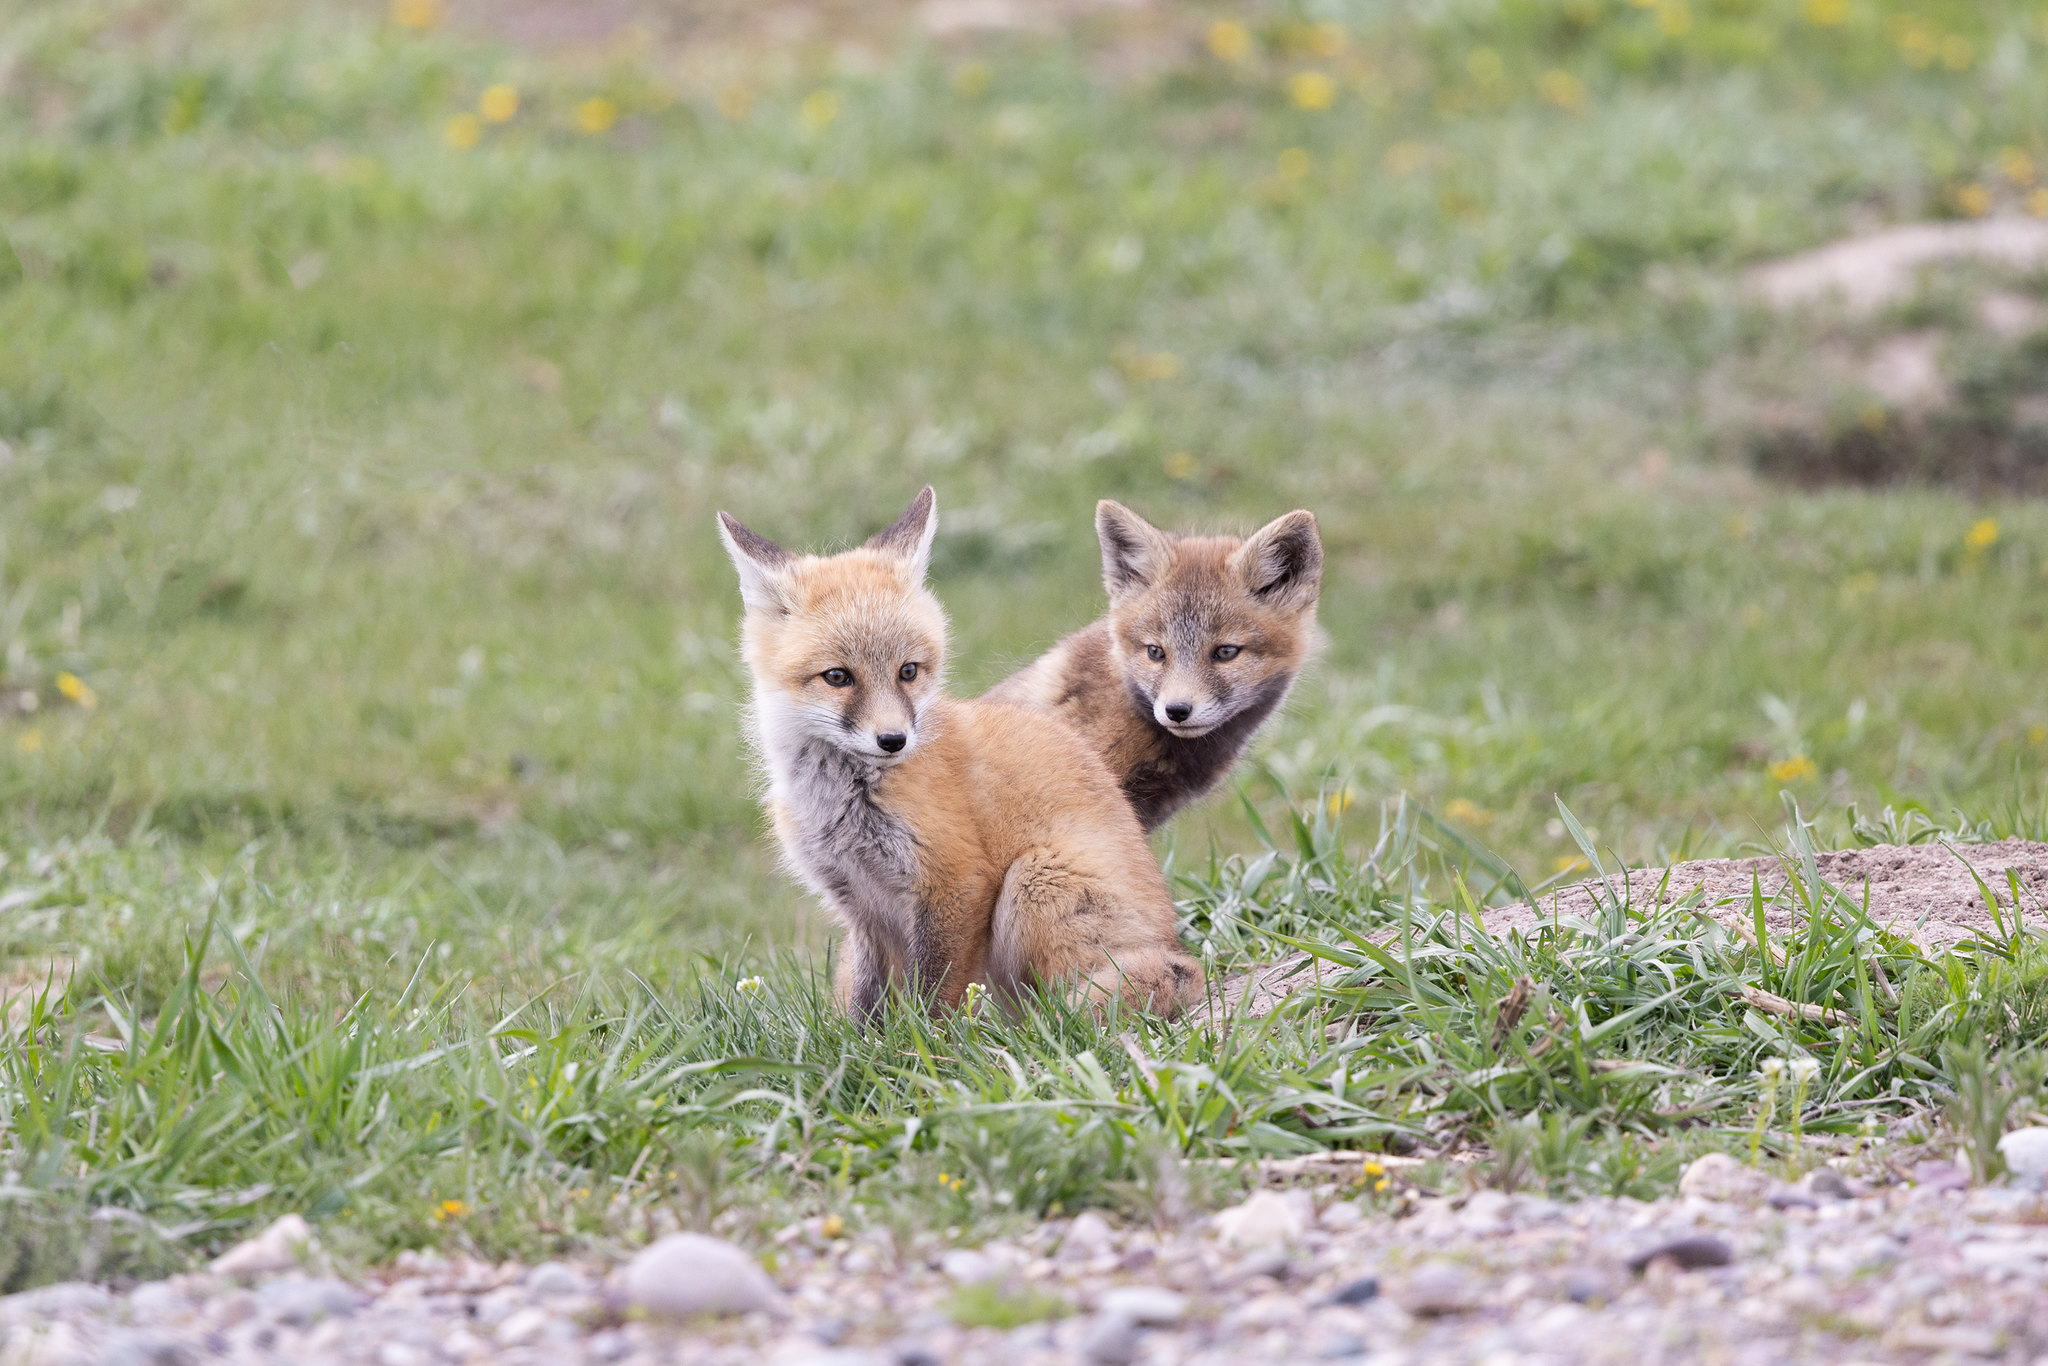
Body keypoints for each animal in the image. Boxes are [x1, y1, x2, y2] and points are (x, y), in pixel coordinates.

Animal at [717, 487, 1203, 1024]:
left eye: (908, 671)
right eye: (837, 677)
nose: (894, 740)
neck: (842, 801)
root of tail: (1178, 953)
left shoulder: (956, 880)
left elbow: (932, 997)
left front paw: (923, 1044)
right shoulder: (862, 906)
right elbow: (865, 1003)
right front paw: (864, 1043)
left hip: (1032, 882)